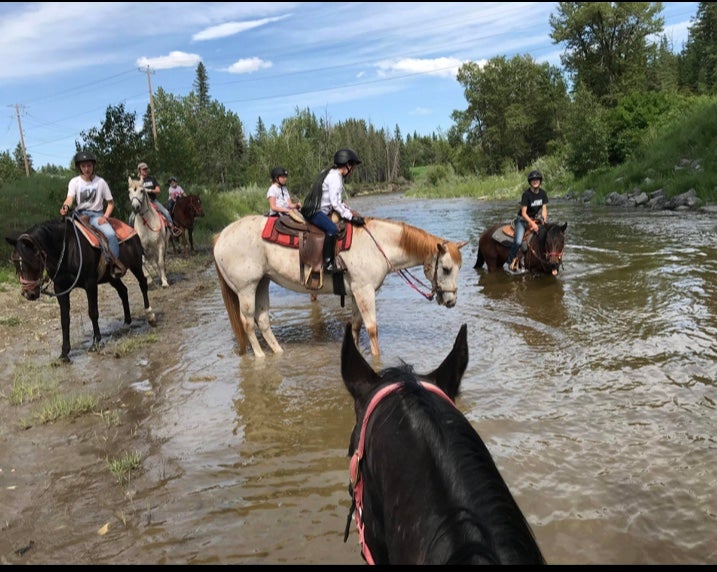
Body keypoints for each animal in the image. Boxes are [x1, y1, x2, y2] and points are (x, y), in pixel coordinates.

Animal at [5, 216, 156, 363]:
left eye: (31, 261)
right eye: (15, 263)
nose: (28, 294)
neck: (67, 250)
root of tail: (131, 228)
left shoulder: (90, 284)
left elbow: (93, 312)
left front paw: (95, 343)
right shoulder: (60, 288)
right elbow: (64, 319)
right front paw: (64, 353)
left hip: (136, 265)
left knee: (143, 284)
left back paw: (150, 316)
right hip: (112, 277)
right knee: (123, 291)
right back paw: (127, 322)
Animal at [212, 215, 468, 358]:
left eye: (459, 268)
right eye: (446, 269)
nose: (451, 301)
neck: (377, 244)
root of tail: (220, 236)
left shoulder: (356, 292)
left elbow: (355, 326)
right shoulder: (364, 291)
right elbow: (371, 329)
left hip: (262, 283)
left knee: (262, 320)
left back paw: (278, 352)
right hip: (246, 288)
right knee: (247, 323)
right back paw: (260, 356)